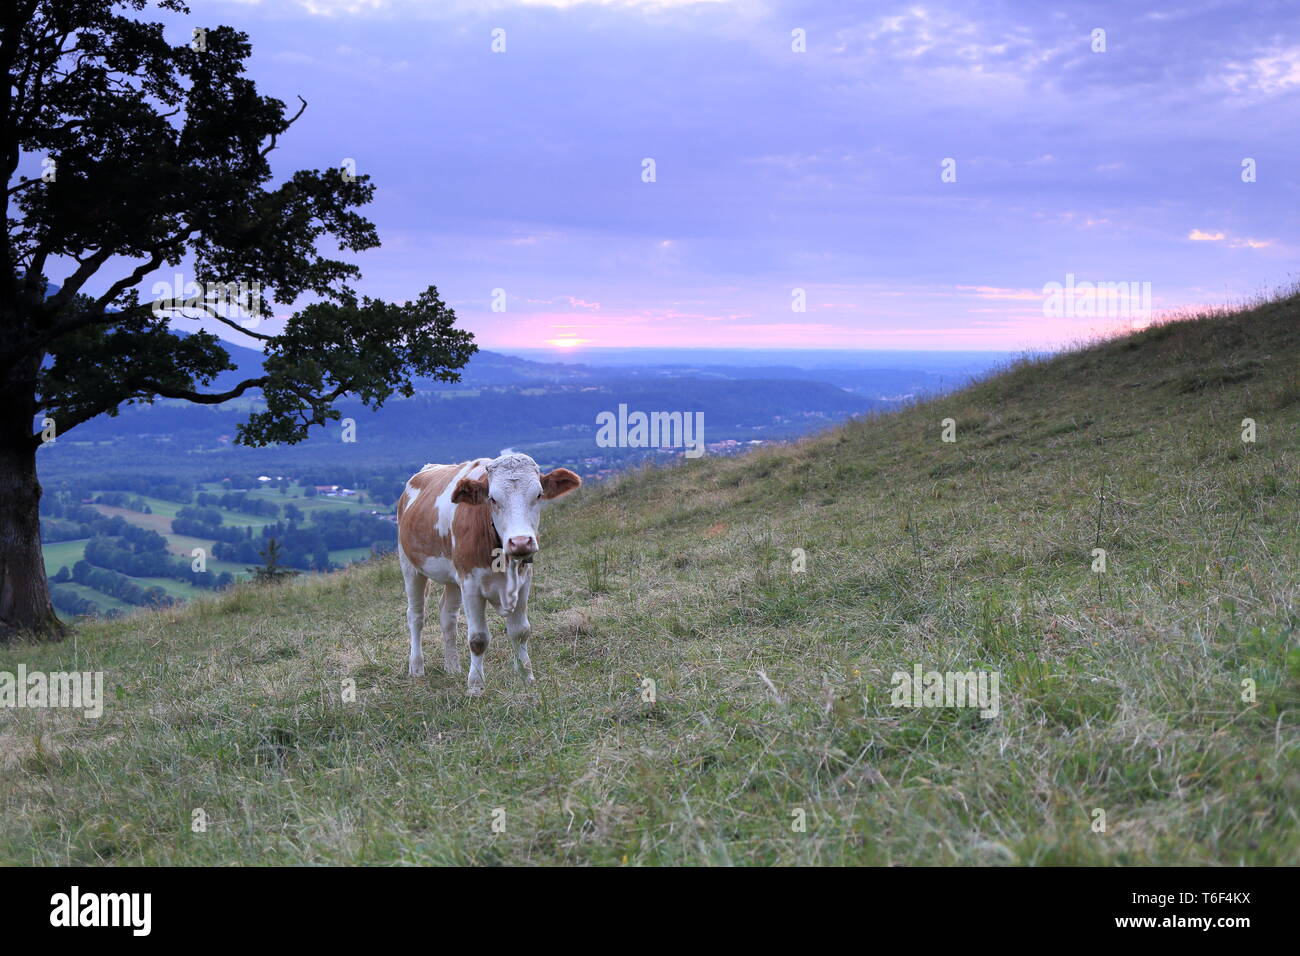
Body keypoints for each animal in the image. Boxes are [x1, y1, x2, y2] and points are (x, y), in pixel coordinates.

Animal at [396, 453, 582, 695]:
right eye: (492, 499)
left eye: (539, 494)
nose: (520, 541)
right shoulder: (471, 585)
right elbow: (478, 639)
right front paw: (476, 687)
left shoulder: (524, 582)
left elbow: (521, 631)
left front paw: (527, 677)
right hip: (410, 565)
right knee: (416, 615)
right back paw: (417, 668)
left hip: (453, 577)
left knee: (447, 616)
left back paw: (452, 666)